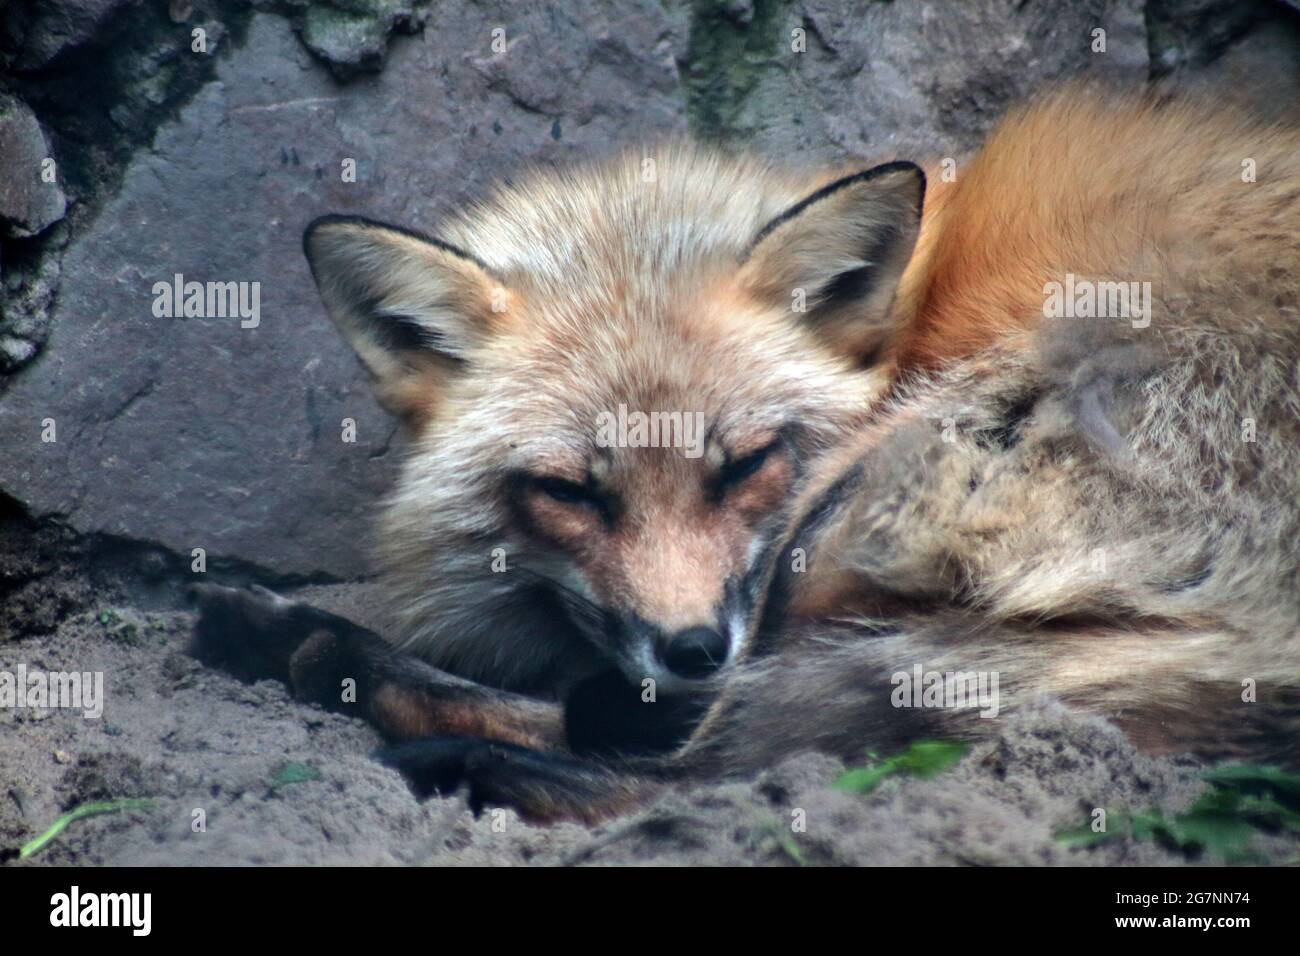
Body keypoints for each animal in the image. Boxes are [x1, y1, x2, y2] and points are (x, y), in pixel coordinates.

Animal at [193, 87, 1300, 823]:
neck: (914, 306)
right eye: (568, 493)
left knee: (701, 765)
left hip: (857, 490)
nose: (689, 647)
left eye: (743, 463)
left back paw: (366, 697)